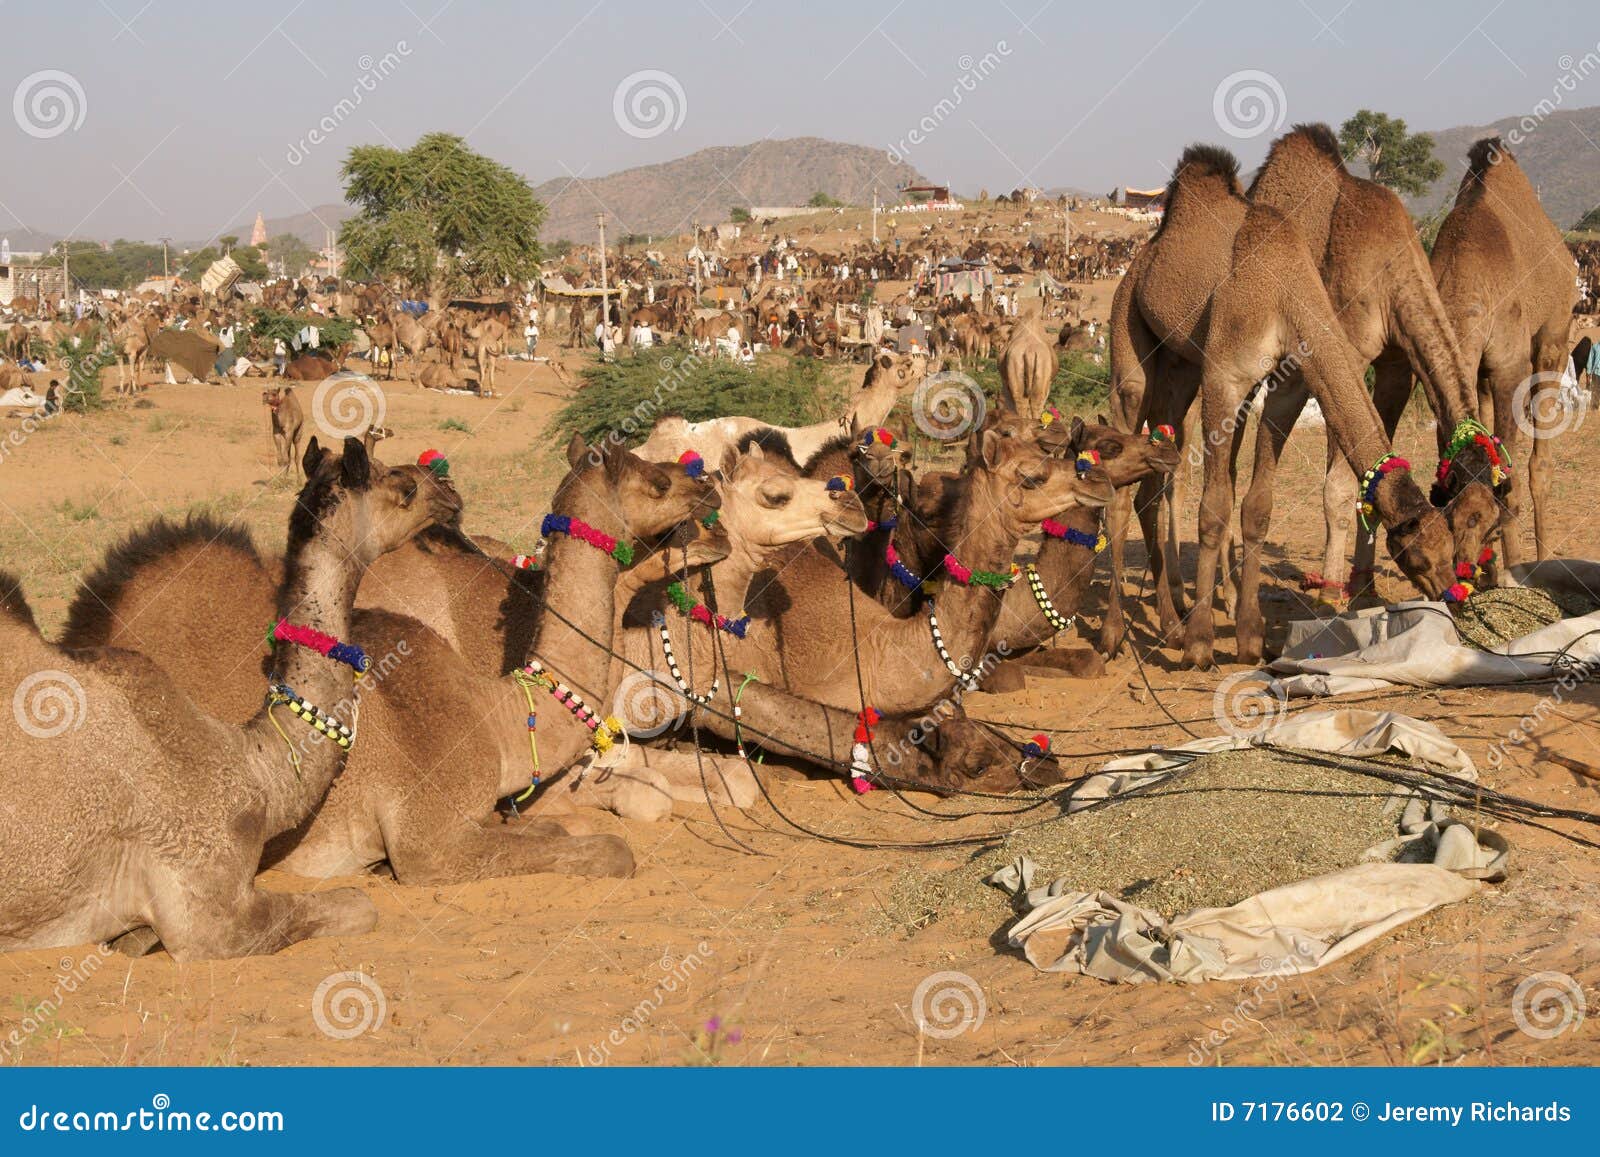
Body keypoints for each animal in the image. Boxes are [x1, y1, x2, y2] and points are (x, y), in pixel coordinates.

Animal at [1431, 138, 1579, 567]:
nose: (1465, 564)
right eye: (1446, 522)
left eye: (1487, 524)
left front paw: (1515, 566)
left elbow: (1509, 481)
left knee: (1539, 463)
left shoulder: (1511, 369)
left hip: (1554, 337)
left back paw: (1543, 556)